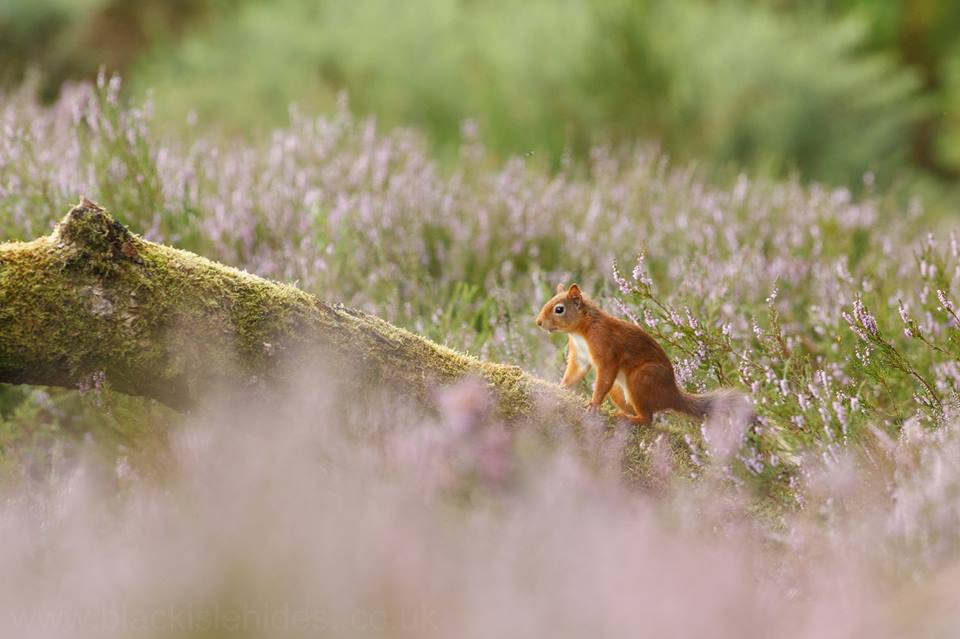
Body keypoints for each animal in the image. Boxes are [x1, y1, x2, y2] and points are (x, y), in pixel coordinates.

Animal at [536, 283, 743, 426]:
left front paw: (594, 404)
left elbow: (605, 373)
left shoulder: (606, 348)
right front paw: (561, 386)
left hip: (641, 379)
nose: (538, 322)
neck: (580, 332)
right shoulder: (579, 356)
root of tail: (673, 395)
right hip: (618, 390)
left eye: (559, 309)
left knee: (648, 418)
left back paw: (628, 419)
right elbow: (574, 373)